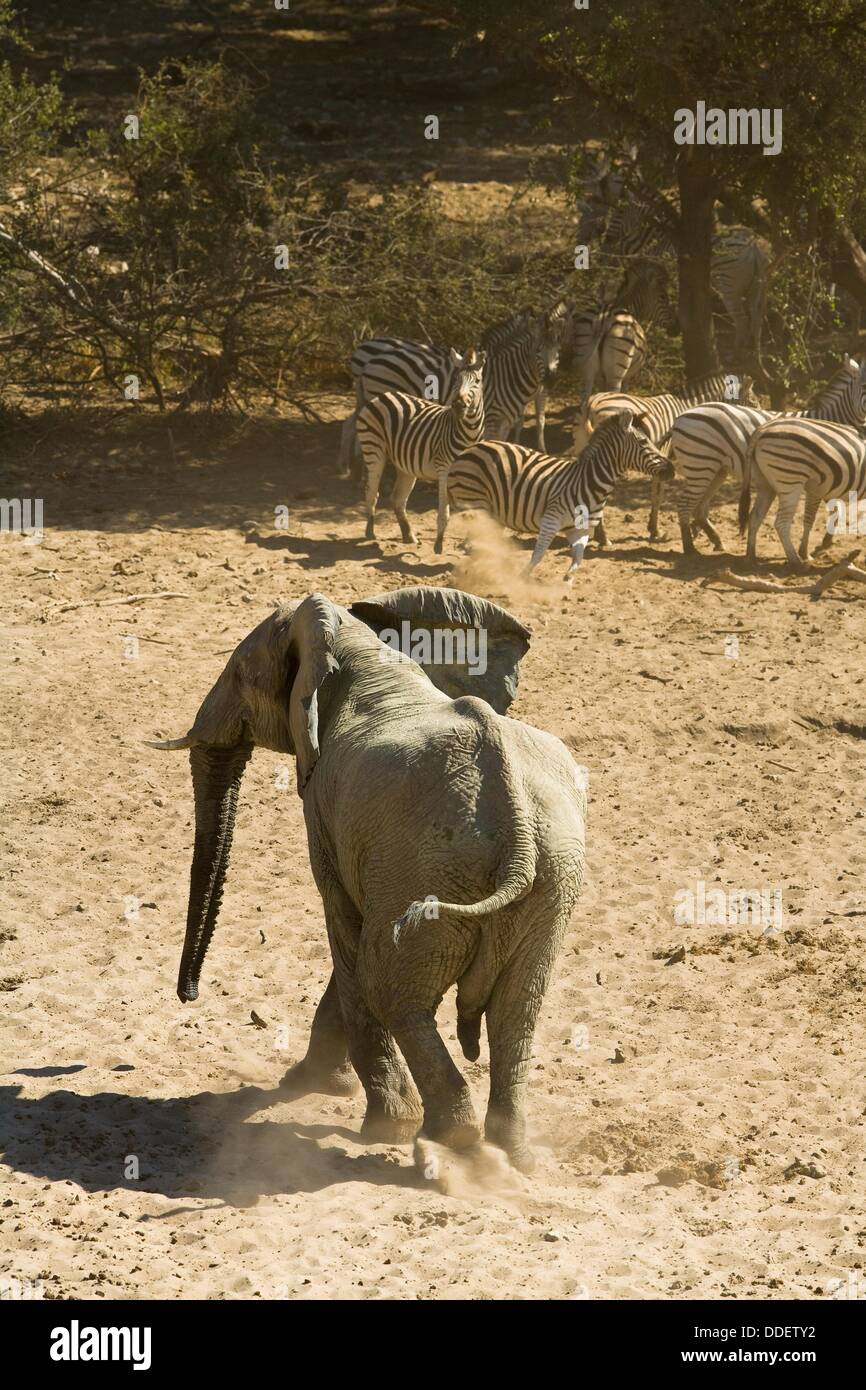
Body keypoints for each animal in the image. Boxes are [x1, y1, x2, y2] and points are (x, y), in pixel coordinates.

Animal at [355, 347, 485, 553]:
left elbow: (474, 513)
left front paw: (469, 544)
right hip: (373, 449)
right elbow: (444, 512)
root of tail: (382, 395)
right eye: (456, 379)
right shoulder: (444, 470)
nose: (458, 405)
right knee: (371, 491)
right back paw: (370, 532)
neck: (468, 434)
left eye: (478, 381)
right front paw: (439, 545)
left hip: (405, 465)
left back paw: (408, 535)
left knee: (398, 498)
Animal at [448, 410, 675, 579]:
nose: (671, 469)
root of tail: (468, 450)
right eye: (644, 443)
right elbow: (538, 554)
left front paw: (567, 580)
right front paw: (521, 580)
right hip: (478, 504)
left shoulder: (579, 530)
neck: (590, 482)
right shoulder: (551, 519)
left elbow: (578, 559)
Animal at [576, 371, 758, 544]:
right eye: (754, 403)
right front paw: (663, 530)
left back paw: (596, 534)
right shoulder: (671, 457)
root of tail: (593, 401)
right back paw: (603, 537)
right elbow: (660, 496)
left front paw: (659, 528)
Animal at [744, 416, 866, 568]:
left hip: (765, 484)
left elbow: (809, 518)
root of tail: (761, 430)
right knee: (781, 523)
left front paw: (806, 552)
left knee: (755, 516)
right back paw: (796, 561)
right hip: (790, 480)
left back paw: (751, 557)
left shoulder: (815, 488)